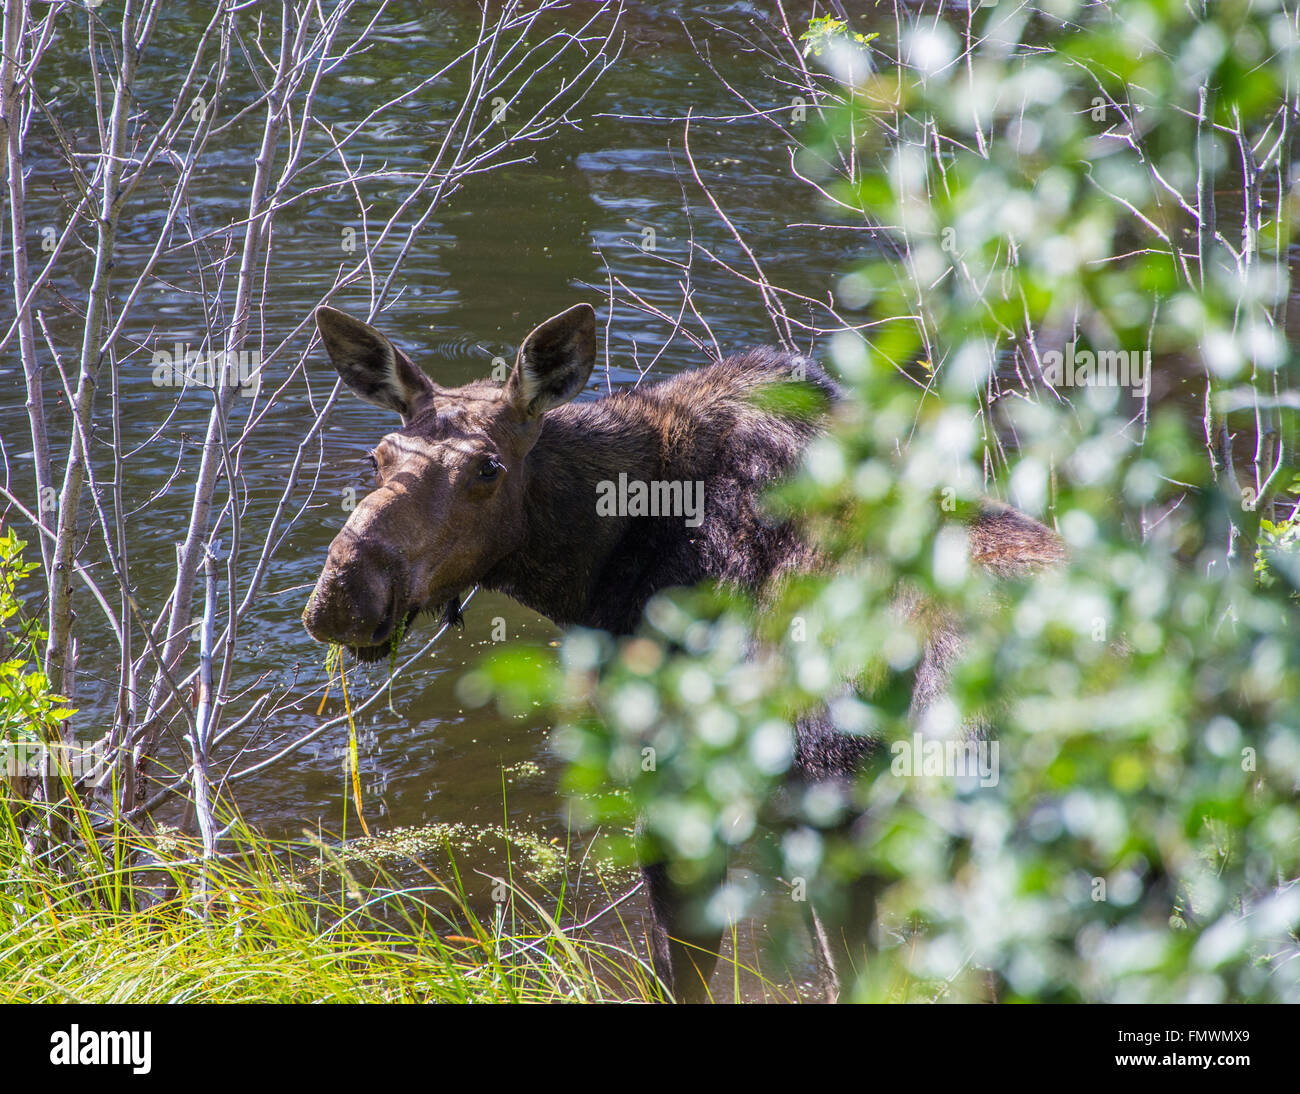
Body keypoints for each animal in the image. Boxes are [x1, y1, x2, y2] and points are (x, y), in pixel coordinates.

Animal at [301, 301, 1065, 1001]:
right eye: (379, 457)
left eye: (488, 469)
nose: (342, 593)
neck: (590, 568)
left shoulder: (684, 780)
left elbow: (683, 971)